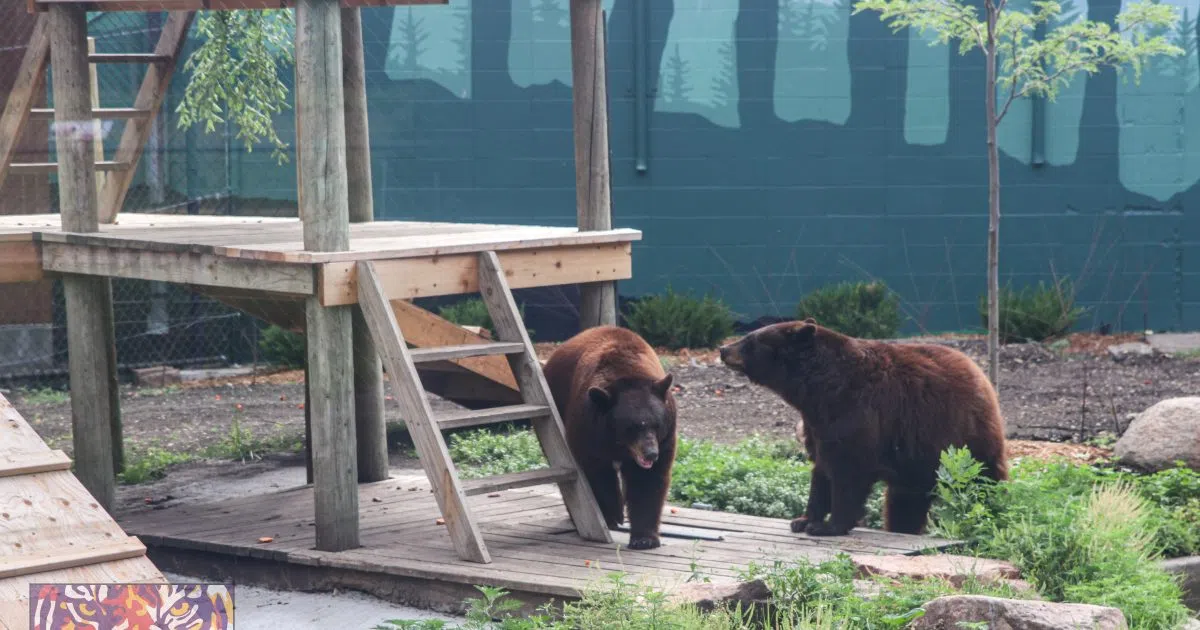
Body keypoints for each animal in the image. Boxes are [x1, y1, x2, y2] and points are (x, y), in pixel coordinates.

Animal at [542, 325, 677, 550]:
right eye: (631, 427)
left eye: (656, 425)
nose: (650, 454)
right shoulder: (589, 428)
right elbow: (596, 472)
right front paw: (612, 515)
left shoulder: (667, 438)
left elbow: (647, 480)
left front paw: (644, 538)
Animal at [718, 318, 1008, 537]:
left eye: (750, 340)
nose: (722, 349)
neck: (820, 389)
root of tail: (982, 377)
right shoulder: (818, 423)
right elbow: (821, 469)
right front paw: (802, 519)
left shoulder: (857, 412)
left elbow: (848, 470)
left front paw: (828, 526)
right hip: (917, 462)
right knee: (905, 501)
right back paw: (902, 527)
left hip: (963, 438)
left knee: (984, 483)